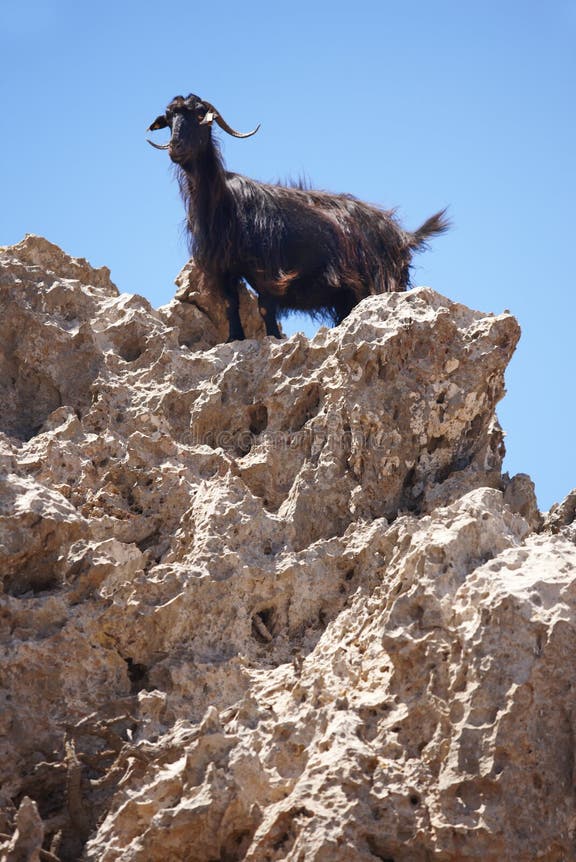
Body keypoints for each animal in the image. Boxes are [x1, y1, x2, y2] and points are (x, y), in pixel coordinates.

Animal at [148, 94, 449, 341]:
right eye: (169, 117)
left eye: (200, 113)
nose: (176, 148)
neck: (228, 205)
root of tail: (402, 235)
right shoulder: (222, 267)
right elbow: (230, 305)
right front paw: (234, 339)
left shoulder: (268, 268)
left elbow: (265, 307)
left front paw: (273, 339)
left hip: (380, 282)